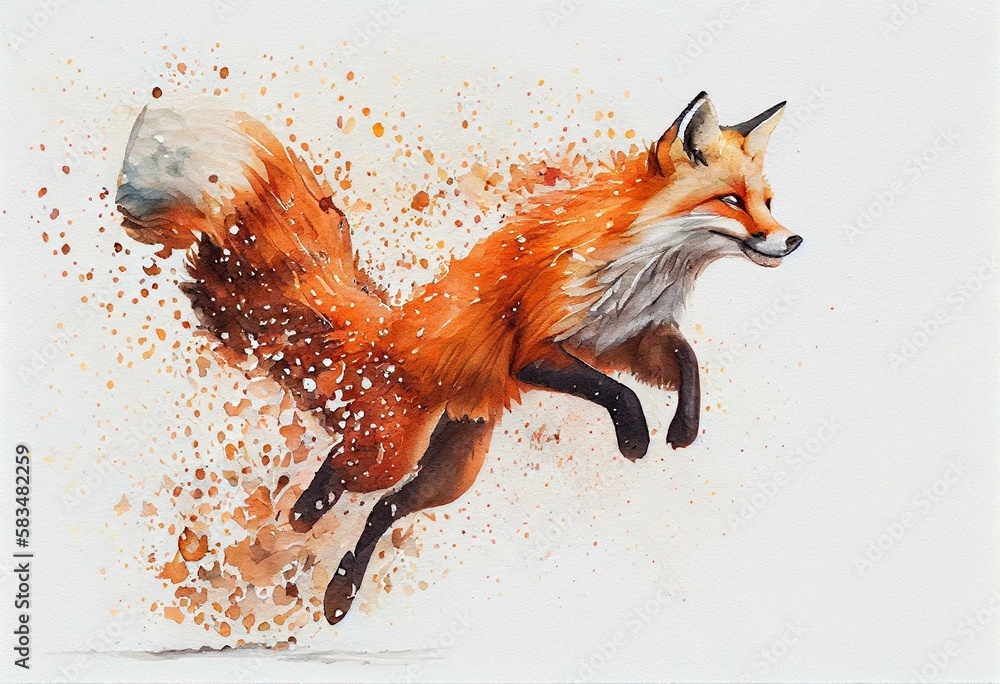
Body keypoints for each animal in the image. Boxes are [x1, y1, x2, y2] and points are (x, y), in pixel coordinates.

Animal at [115, 91, 801, 625]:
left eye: (766, 201)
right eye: (731, 201)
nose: (791, 239)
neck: (648, 265)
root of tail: (388, 333)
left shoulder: (625, 337)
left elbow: (684, 359)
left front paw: (683, 428)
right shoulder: (537, 346)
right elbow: (619, 392)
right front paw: (636, 439)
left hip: (453, 470)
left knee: (386, 509)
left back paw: (335, 590)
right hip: (390, 451)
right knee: (337, 478)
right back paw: (296, 538)